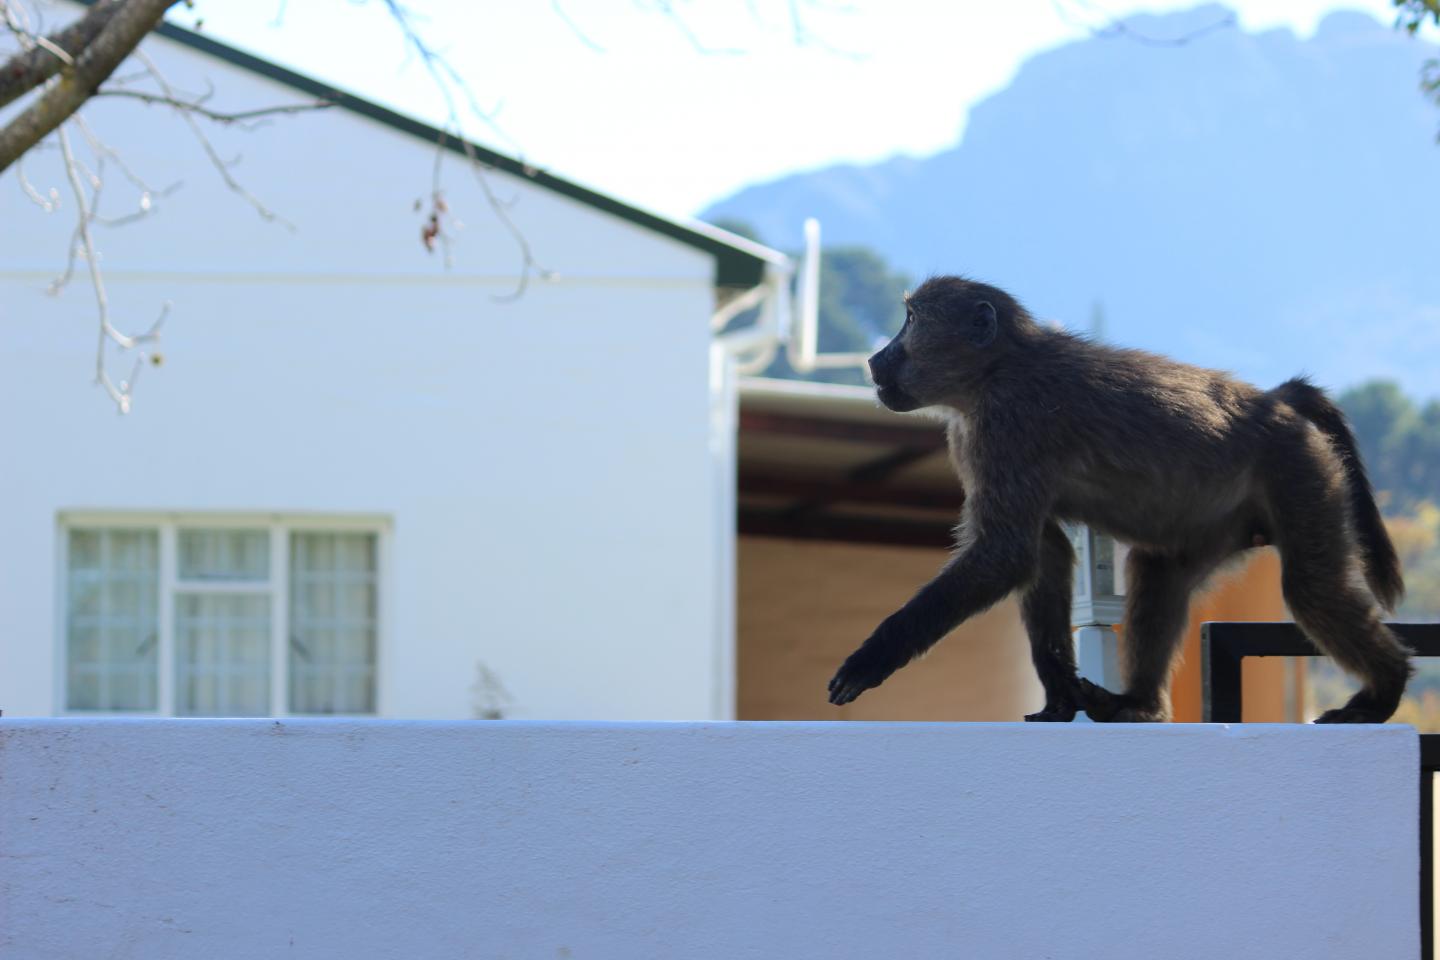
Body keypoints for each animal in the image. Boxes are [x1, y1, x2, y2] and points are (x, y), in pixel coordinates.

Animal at [826, 276, 1410, 723]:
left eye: (909, 320)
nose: (875, 360)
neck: (995, 370)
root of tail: (1273, 403)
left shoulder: (1007, 427)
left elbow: (1005, 555)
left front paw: (870, 659)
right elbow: (1043, 552)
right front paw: (1061, 696)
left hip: (1300, 473)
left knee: (1312, 590)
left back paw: (1384, 692)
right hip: (1221, 519)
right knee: (1160, 574)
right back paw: (1138, 705)